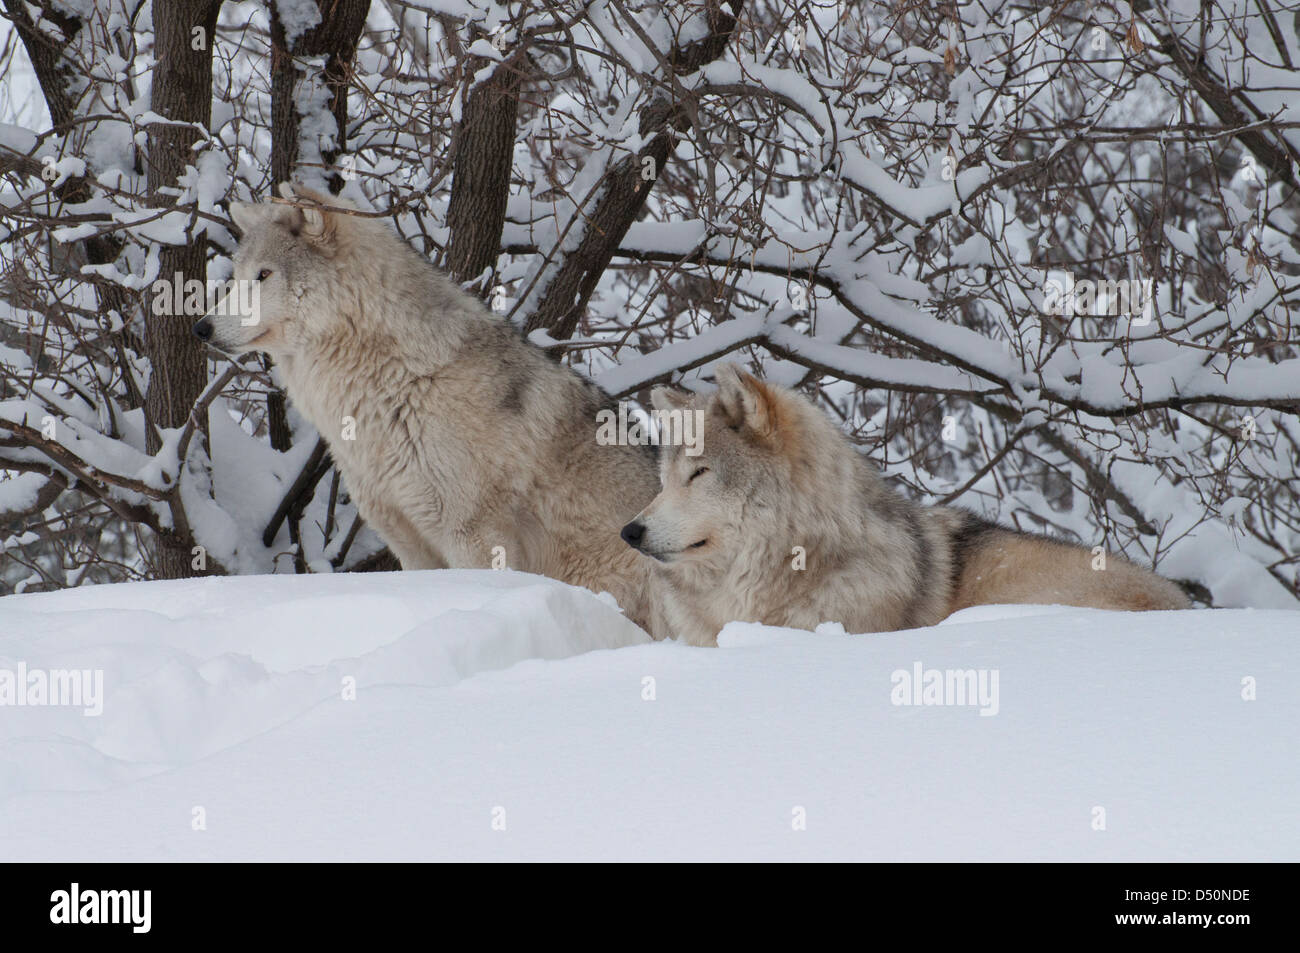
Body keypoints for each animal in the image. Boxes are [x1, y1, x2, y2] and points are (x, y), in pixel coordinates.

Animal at [193, 183, 659, 628]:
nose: (201, 327)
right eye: (237, 275)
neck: (398, 381)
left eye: (264, 275)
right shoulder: (405, 536)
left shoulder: (475, 534)